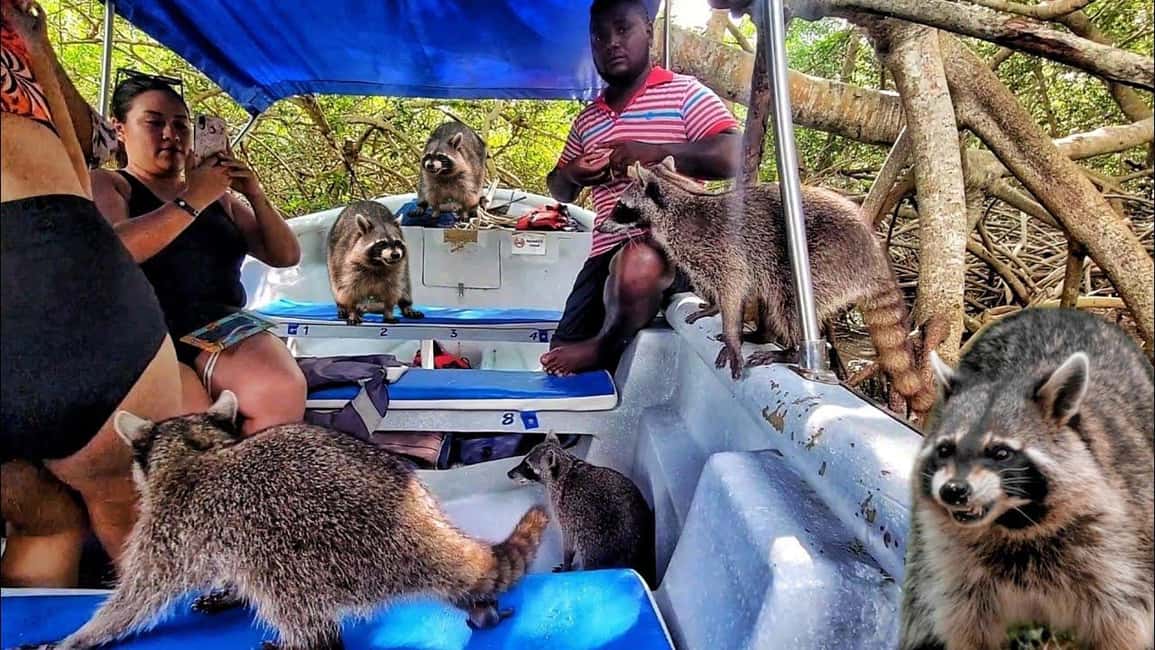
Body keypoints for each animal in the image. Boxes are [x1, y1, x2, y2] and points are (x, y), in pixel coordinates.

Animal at [42, 391, 549, 650]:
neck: (196, 449)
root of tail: (418, 529)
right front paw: (228, 591)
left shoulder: (172, 524)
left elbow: (139, 594)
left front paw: (82, 636)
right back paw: (479, 605)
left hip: (300, 545)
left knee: (281, 591)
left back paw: (306, 641)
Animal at [507, 433, 656, 588]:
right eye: (524, 460)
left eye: (528, 466)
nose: (509, 473)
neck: (567, 468)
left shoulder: (566, 513)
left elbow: (568, 544)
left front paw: (567, 565)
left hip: (594, 545)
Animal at [600, 157, 933, 414]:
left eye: (620, 206)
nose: (602, 226)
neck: (676, 200)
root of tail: (874, 253)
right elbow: (724, 288)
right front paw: (713, 306)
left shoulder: (720, 247)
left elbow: (733, 287)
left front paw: (732, 334)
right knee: (768, 292)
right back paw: (762, 334)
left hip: (824, 261)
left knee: (787, 299)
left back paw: (790, 351)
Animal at [901, 308, 1154, 650]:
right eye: (945, 449)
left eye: (1001, 452)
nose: (953, 491)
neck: (1014, 523)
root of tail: (1058, 310)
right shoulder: (955, 569)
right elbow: (963, 625)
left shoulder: (1122, 553)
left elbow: (1123, 623)